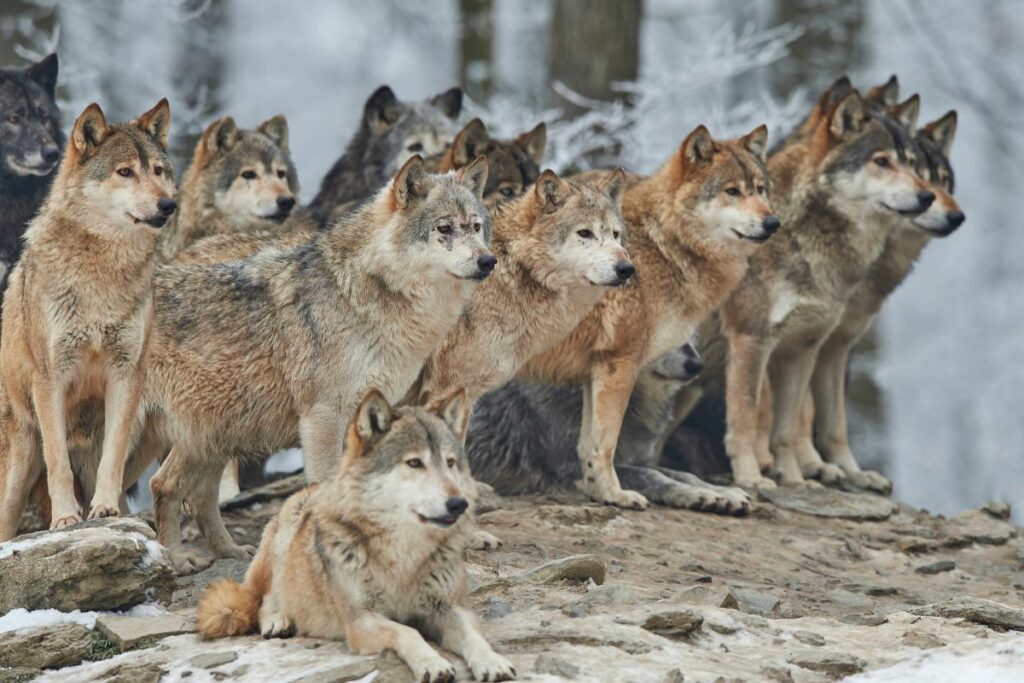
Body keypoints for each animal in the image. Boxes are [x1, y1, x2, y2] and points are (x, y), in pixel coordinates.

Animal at [0, 100, 175, 539]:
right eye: (125, 172)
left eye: (158, 171)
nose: (168, 205)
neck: (101, 275)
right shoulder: (51, 379)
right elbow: (58, 463)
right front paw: (66, 518)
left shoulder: (126, 374)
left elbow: (112, 457)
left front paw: (105, 509)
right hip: (16, 471)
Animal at [138, 155, 492, 573]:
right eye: (444, 228)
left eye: (476, 227)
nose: (488, 260)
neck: (366, 292)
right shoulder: (322, 418)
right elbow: (325, 486)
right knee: (163, 485)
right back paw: (176, 559)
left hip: (214, 432)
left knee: (185, 491)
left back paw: (228, 552)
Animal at [197, 390, 515, 682]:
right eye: (414, 463)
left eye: (450, 463)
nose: (458, 504)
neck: (404, 556)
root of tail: (309, 488)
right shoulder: (361, 620)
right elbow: (409, 632)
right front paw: (433, 664)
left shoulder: (448, 608)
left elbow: (473, 637)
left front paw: (493, 662)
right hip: (283, 541)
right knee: (263, 598)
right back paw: (277, 620)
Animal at [468, 343, 750, 514]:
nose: (697, 364)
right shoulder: (572, 470)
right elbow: (654, 477)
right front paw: (698, 494)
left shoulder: (638, 459)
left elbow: (683, 474)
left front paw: (721, 493)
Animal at [515, 125, 778, 509]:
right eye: (732, 191)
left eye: (760, 189)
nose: (773, 222)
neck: (665, 245)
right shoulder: (620, 363)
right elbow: (607, 444)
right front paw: (616, 494)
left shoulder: (596, 368)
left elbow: (591, 447)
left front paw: (599, 493)